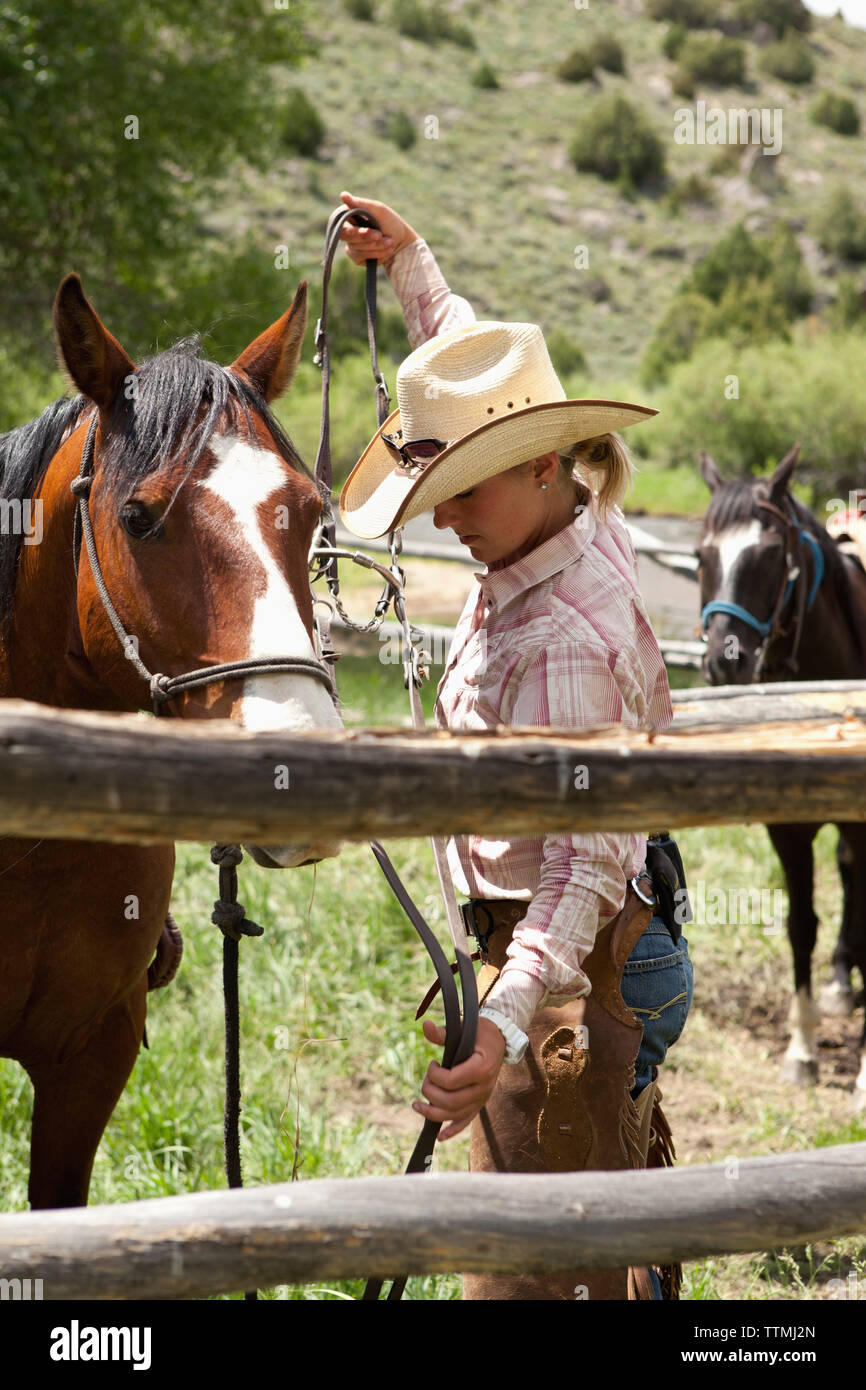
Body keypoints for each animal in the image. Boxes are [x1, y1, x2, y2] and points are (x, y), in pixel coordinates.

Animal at [696, 445, 866, 1103]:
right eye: (702, 556)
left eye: (770, 555)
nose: (725, 660)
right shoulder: (787, 830)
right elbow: (800, 926)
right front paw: (802, 1049)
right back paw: (844, 979)